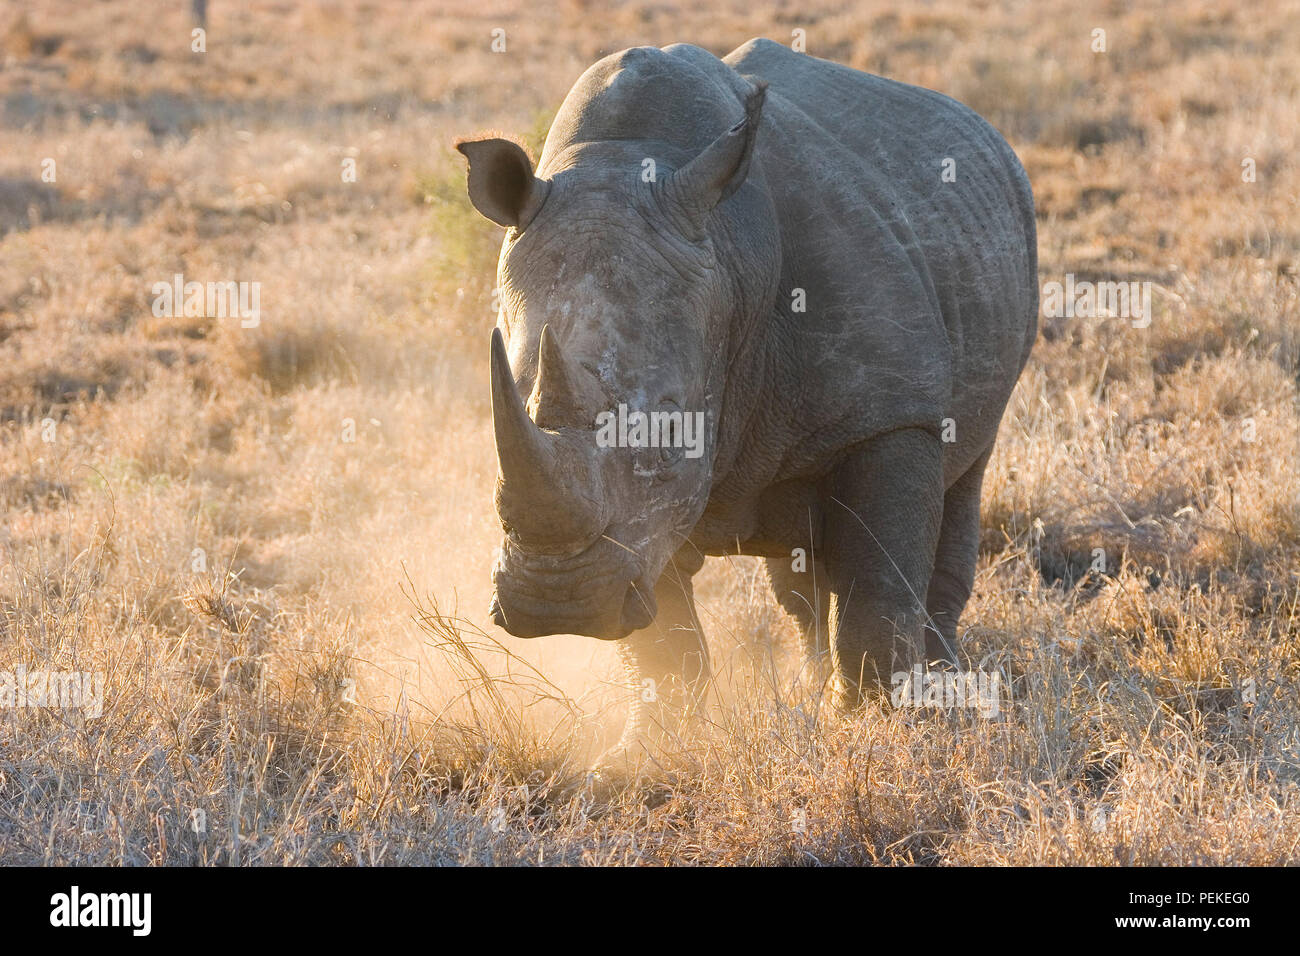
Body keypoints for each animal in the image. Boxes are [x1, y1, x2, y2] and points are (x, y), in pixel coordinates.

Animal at [456, 38, 1037, 766]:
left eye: (671, 433)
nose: (555, 604)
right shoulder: (642, 525)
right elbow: (665, 639)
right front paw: (642, 755)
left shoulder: (890, 415)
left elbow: (878, 589)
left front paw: (878, 738)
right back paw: (817, 679)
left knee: (966, 474)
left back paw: (940, 684)